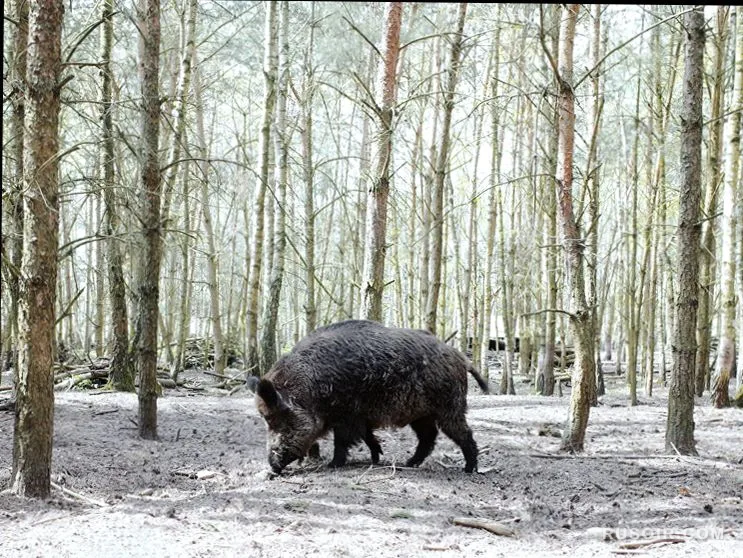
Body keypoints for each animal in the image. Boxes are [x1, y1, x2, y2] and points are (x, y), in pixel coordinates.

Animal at [255, 319, 489, 474]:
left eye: (277, 418)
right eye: (266, 419)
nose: (272, 467)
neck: (309, 389)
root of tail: (460, 357)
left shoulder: (347, 416)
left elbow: (342, 441)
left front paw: (333, 464)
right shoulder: (360, 417)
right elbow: (368, 437)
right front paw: (376, 457)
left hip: (449, 407)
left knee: (463, 434)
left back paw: (469, 469)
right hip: (422, 414)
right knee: (428, 437)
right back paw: (408, 463)